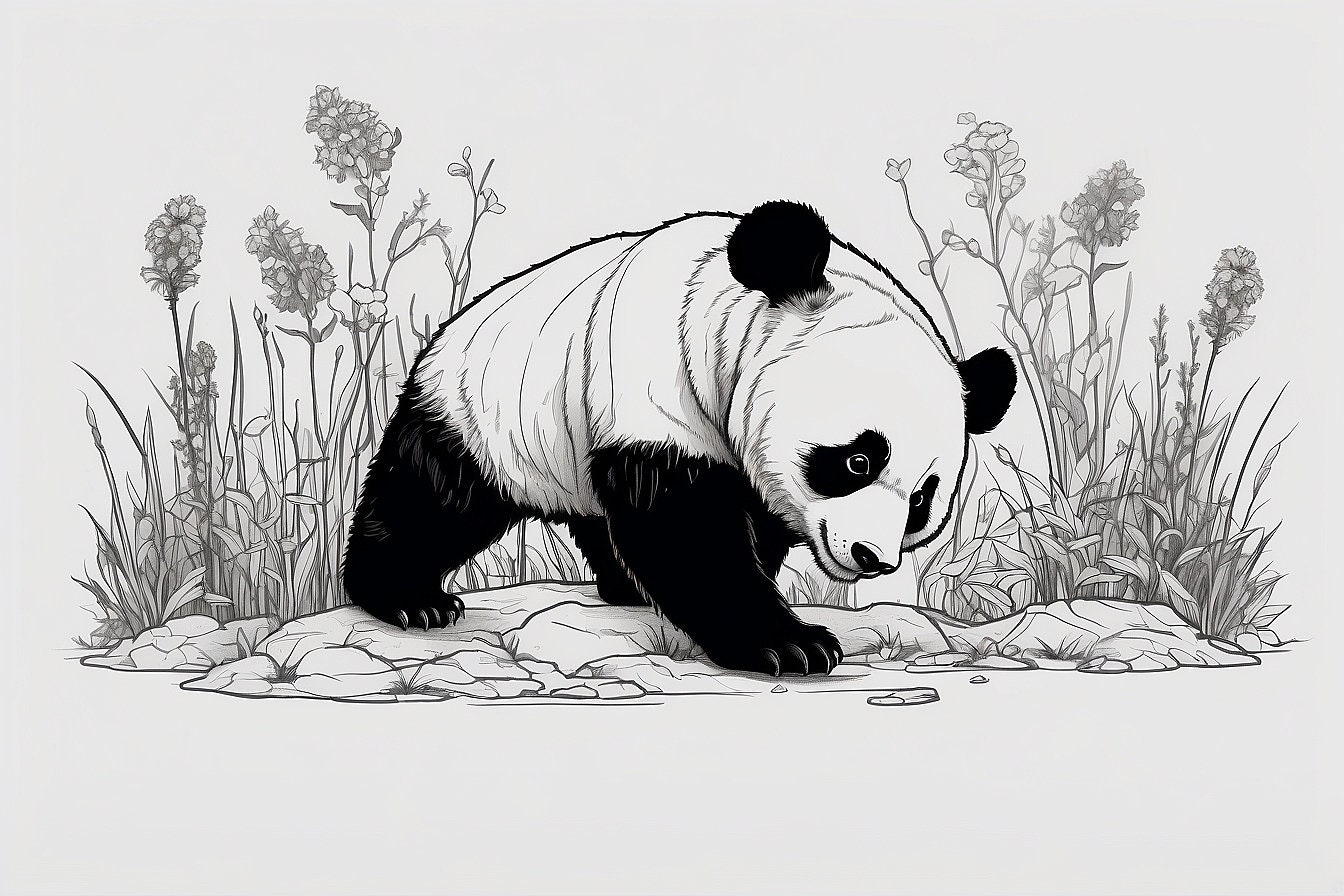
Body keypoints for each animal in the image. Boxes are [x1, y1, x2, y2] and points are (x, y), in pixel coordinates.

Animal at [343, 200, 1016, 677]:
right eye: (858, 460)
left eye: (922, 500)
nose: (873, 558)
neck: (732, 321)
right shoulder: (652, 383)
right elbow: (688, 530)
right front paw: (791, 645)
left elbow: (750, 522)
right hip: (484, 414)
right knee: (432, 496)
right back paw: (409, 597)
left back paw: (618, 586)